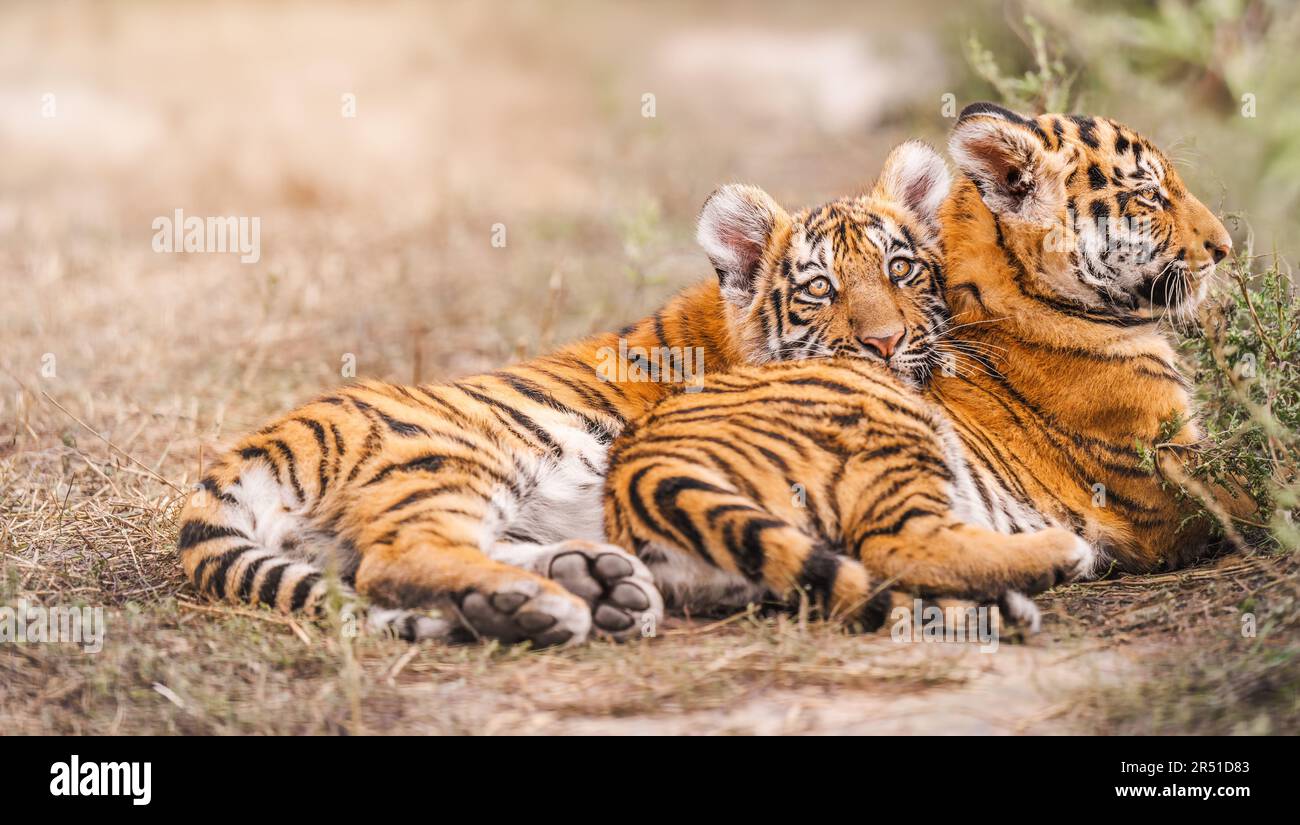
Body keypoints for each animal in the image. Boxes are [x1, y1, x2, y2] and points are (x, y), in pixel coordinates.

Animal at [176, 140, 961, 647]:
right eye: (819, 289)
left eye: (900, 268)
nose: (884, 342)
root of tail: (251, 448)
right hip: (451, 462)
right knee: (395, 556)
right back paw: (538, 602)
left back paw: (585, 587)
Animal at [603, 103, 1239, 629]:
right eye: (1150, 195)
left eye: (901, 269)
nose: (1224, 248)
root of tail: (636, 470)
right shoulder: (1171, 476)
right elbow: (1252, 481)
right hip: (887, 429)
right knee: (894, 543)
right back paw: (1061, 555)